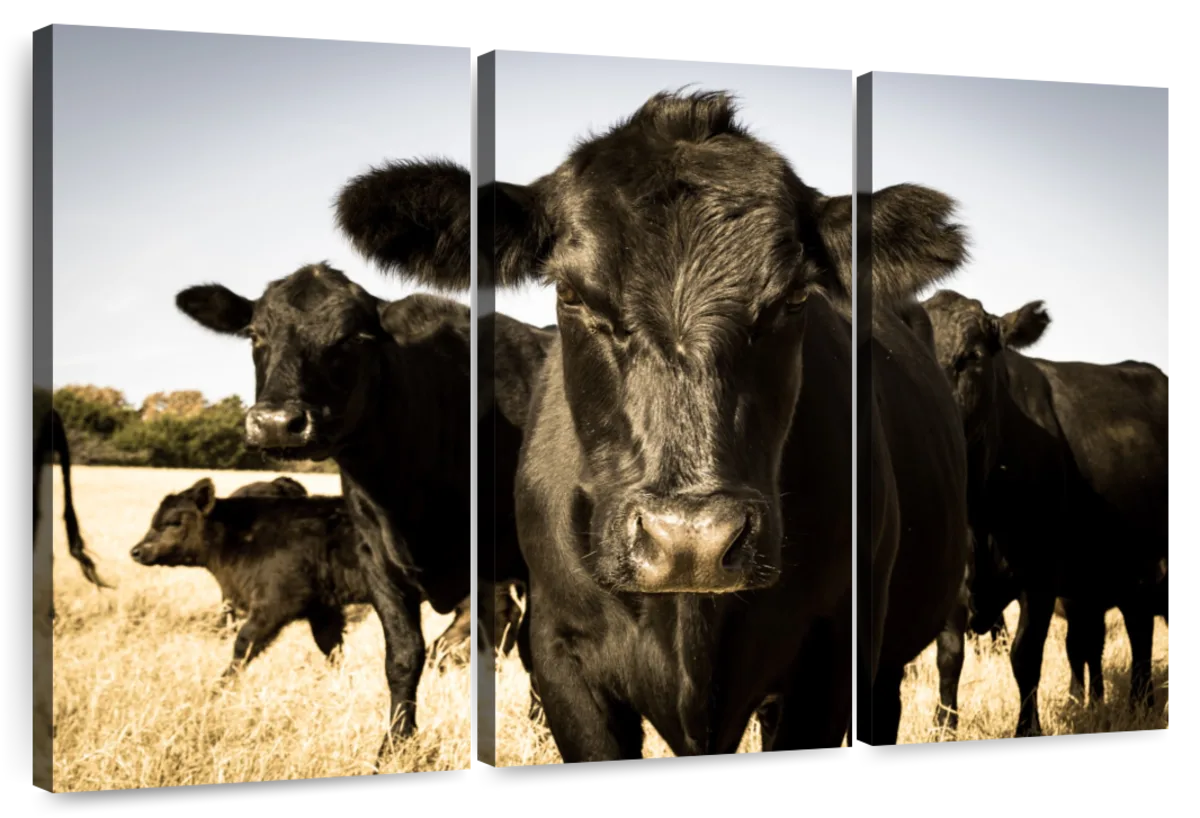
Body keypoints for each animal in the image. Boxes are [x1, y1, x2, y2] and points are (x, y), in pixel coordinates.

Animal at [130, 477, 371, 676]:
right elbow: (331, 647)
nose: (136, 551)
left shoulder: (275, 603)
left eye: (173, 522)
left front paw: (219, 687)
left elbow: (243, 644)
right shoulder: (322, 608)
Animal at [919, 289, 1173, 737]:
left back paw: (1139, 705)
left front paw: (1028, 728)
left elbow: (1025, 656)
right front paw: (943, 727)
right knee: (1136, 628)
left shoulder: (1040, 576)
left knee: (1135, 634)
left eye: (972, 357)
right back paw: (1139, 705)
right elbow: (949, 657)